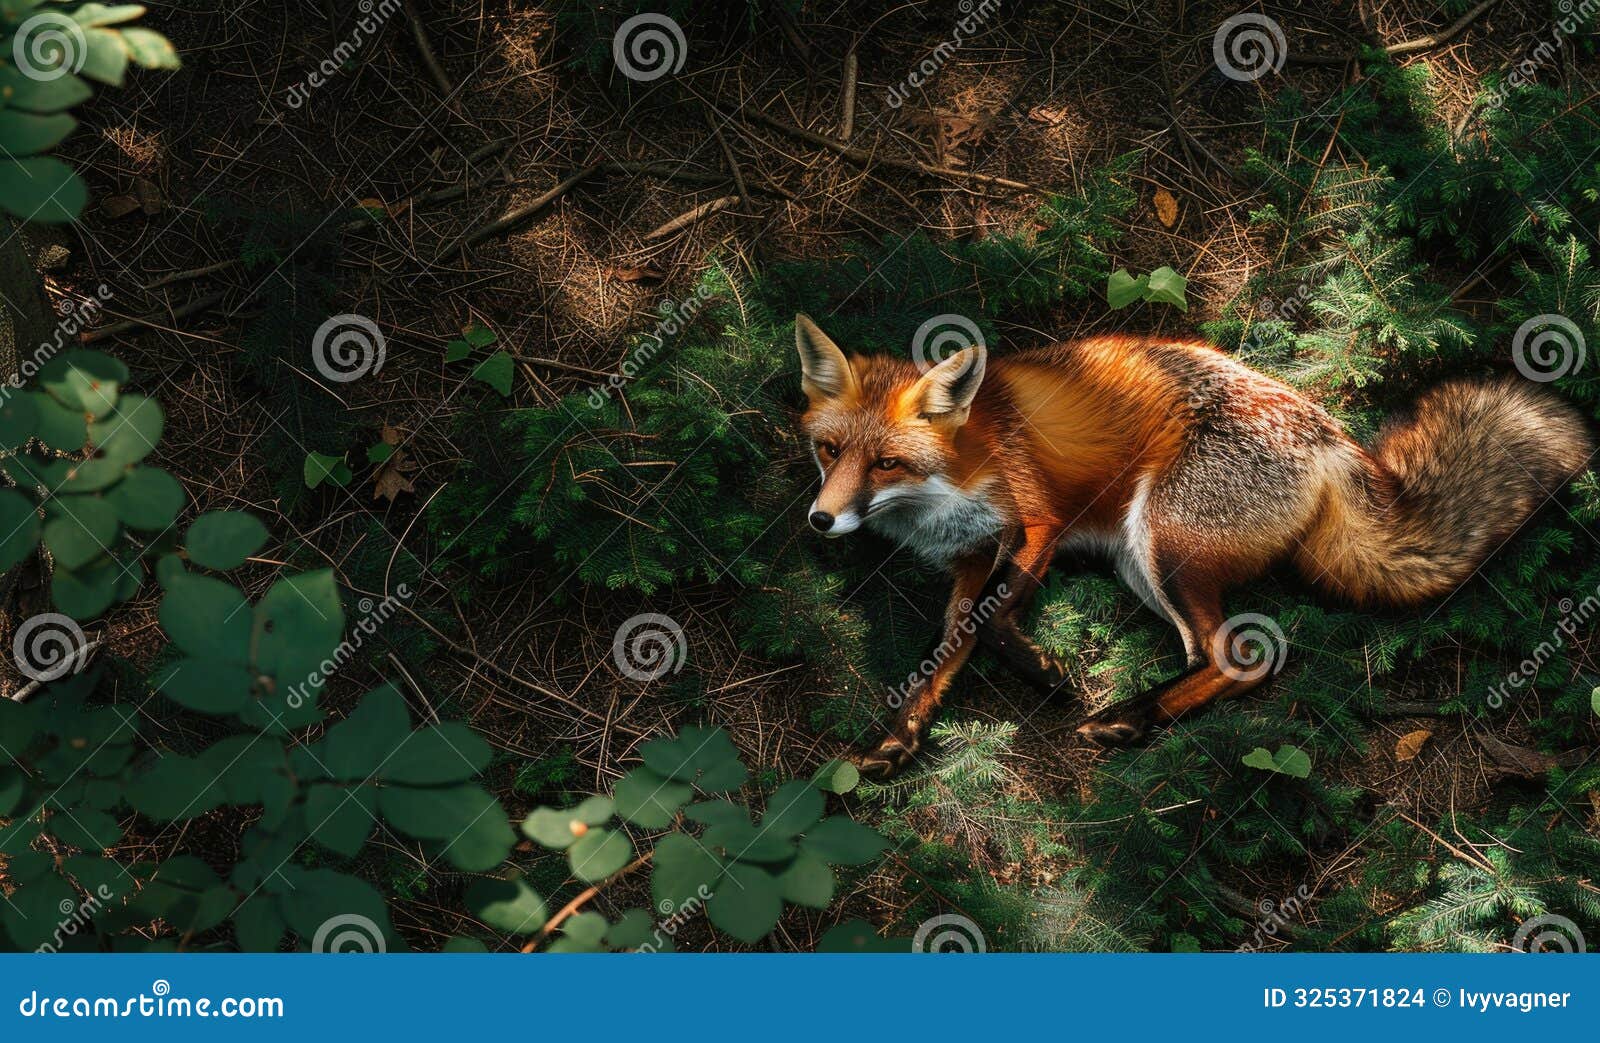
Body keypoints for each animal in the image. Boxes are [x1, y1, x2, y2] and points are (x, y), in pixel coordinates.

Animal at [793, 313, 1594, 777]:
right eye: (830, 452)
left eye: (886, 462)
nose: (821, 521)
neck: (946, 484)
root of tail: (1332, 439)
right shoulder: (968, 558)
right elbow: (950, 645)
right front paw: (898, 739)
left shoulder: (1039, 521)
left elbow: (990, 624)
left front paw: (1044, 671)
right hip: (1142, 563)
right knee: (1202, 654)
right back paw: (1142, 713)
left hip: (1165, 542)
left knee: (1244, 657)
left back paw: (1126, 715)